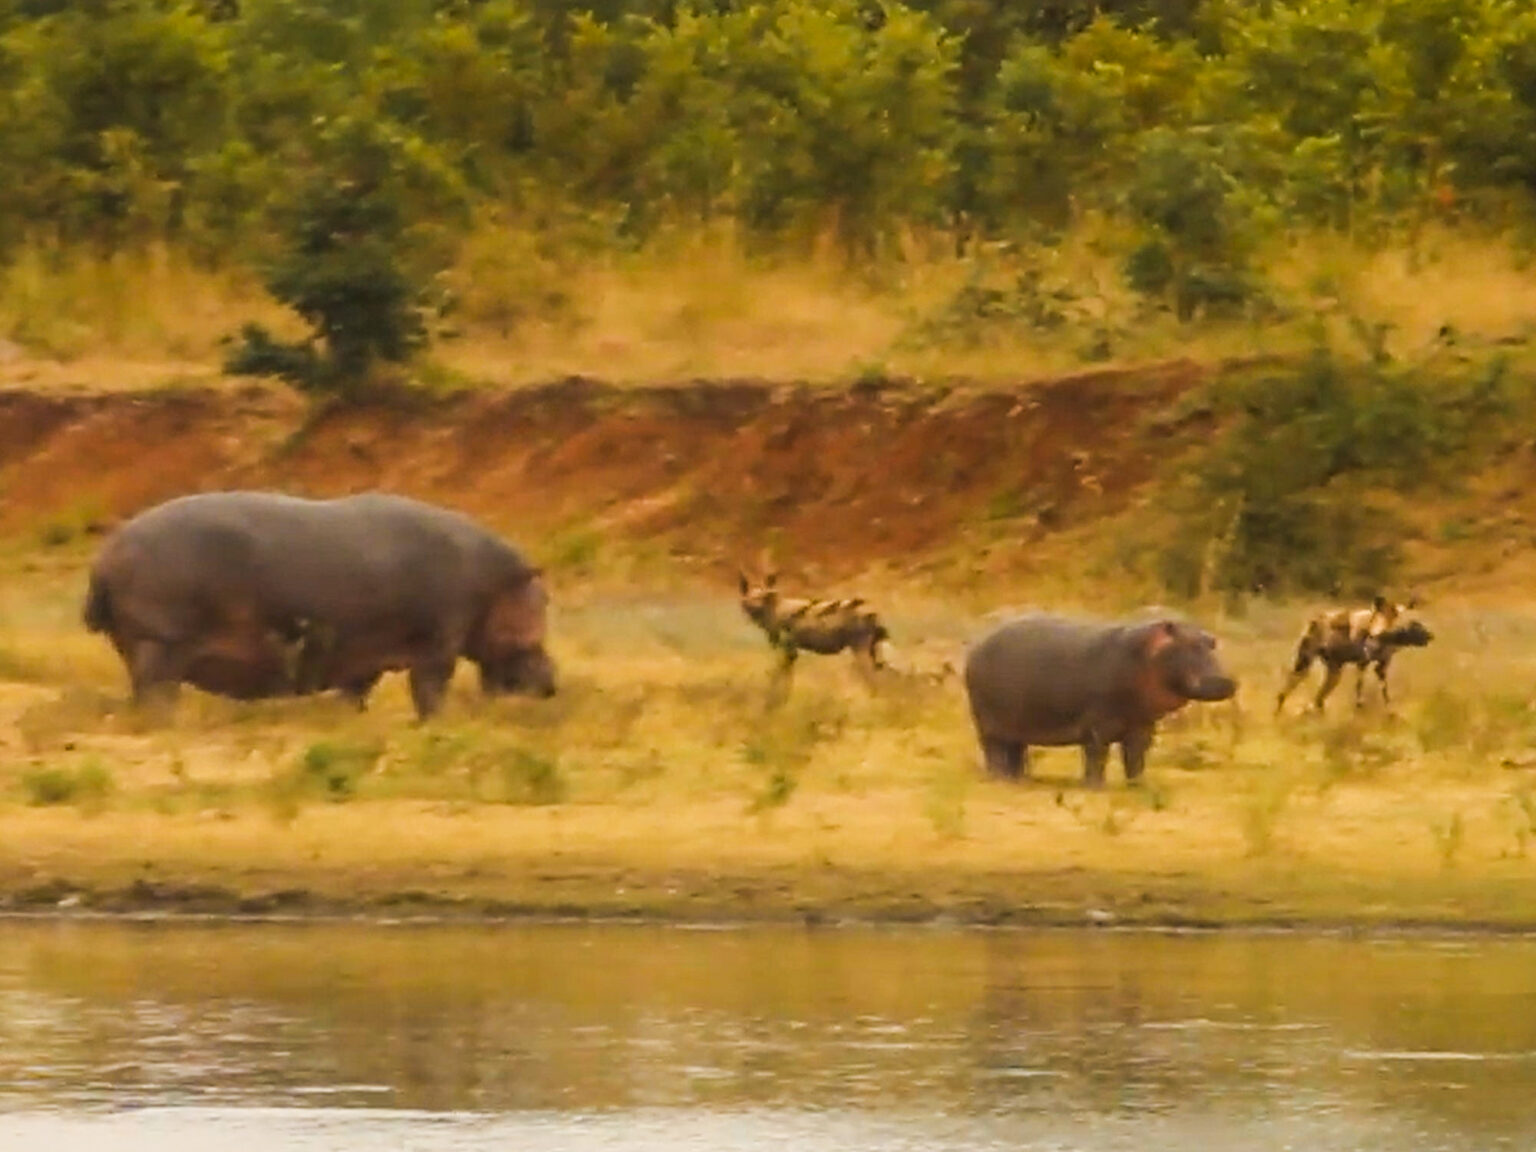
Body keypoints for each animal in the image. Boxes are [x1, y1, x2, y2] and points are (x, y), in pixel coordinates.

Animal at [82, 490, 557, 719]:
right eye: (541, 606)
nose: (554, 682)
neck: (496, 582)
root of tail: (106, 555)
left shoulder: (361, 652)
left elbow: (356, 692)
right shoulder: (441, 639)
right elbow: (430, 688)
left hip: (140, 644)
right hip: (158, 644)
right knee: (155, 695)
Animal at [962, 612, 1238, 787]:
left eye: (1211, 642)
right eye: (1188, 645)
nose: (1225, 680)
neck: (1146, 654)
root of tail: (976, 645)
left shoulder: (1142, 725)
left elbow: (1136, 757)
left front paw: (1139, 785)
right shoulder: (1098, 725)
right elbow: (1097, 755)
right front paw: (1095, 786)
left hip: (1016, 723)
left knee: (1015, 751)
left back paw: (1017, 780)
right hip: (986, 721)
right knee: (993, 750)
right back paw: (998, 779)